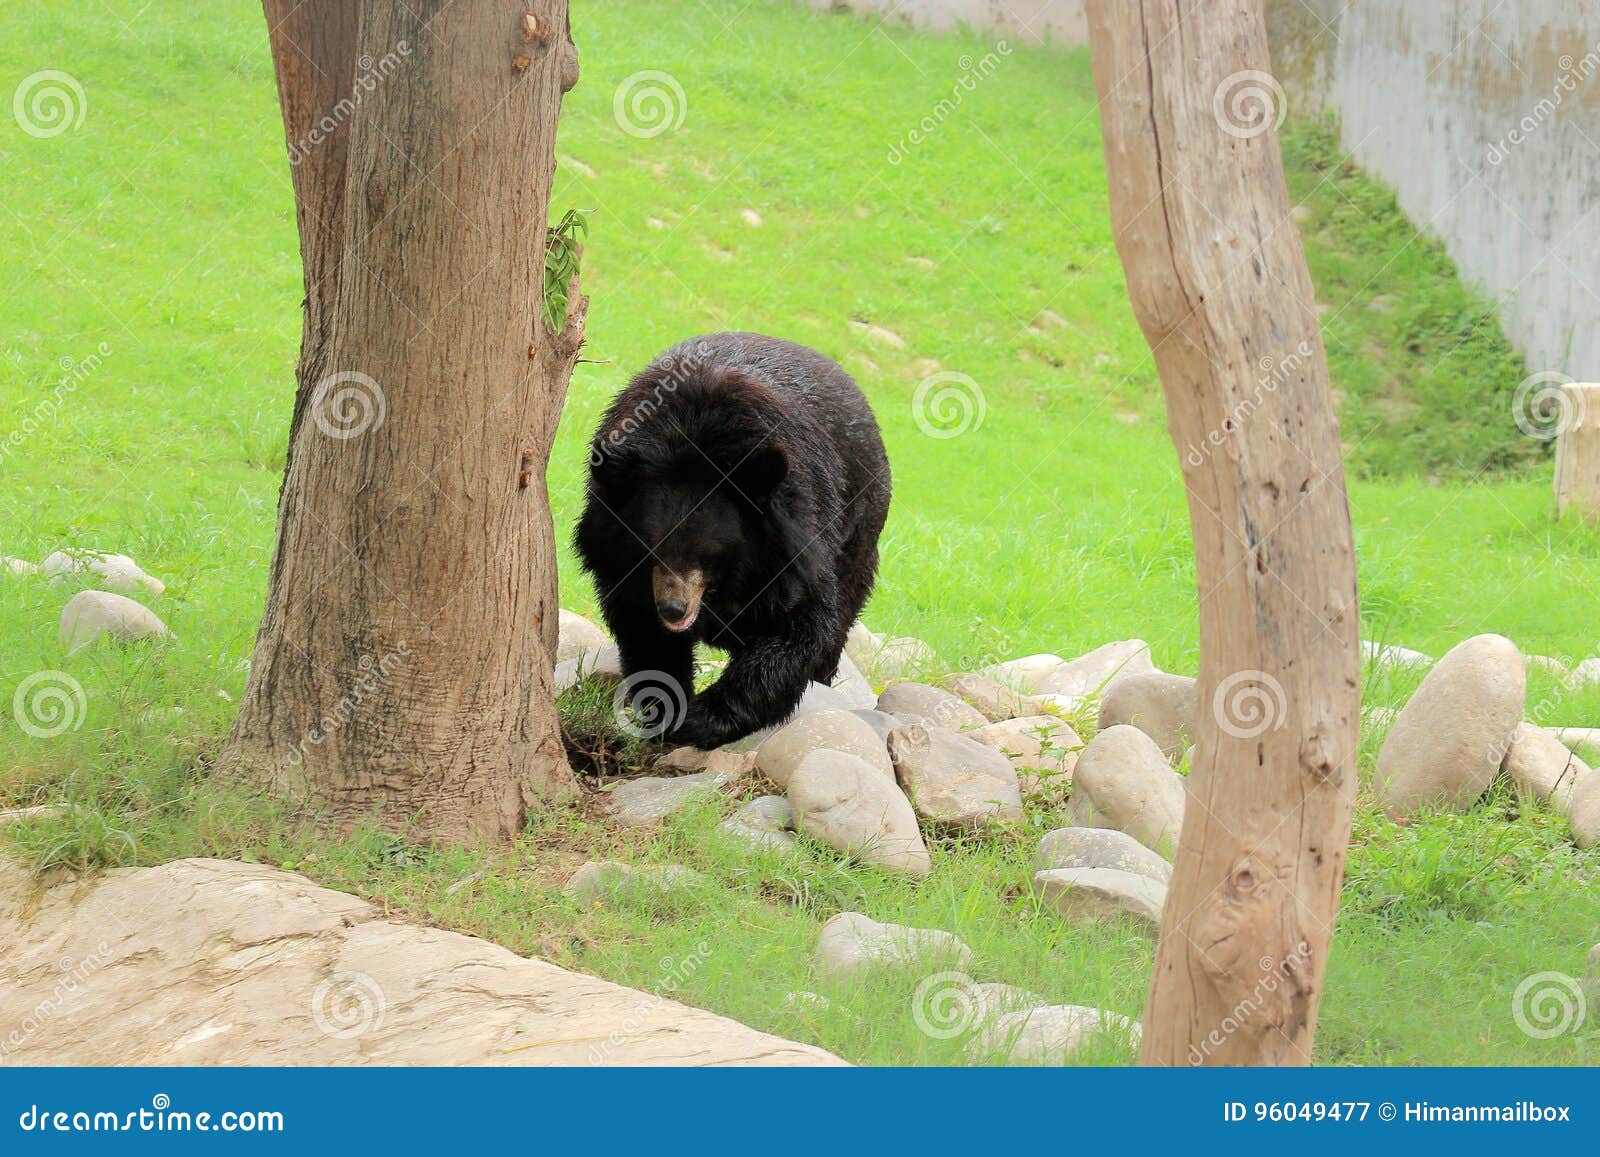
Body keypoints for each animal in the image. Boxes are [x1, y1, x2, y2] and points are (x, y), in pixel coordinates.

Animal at [575, 332, 891, 750]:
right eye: (649, 551)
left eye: (706, 555)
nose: (673, 610)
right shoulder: (617, 558)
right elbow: (641, 627)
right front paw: (667, 708)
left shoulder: (795, 538)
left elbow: (799, 626)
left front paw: (700, 719)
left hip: (860, 525)